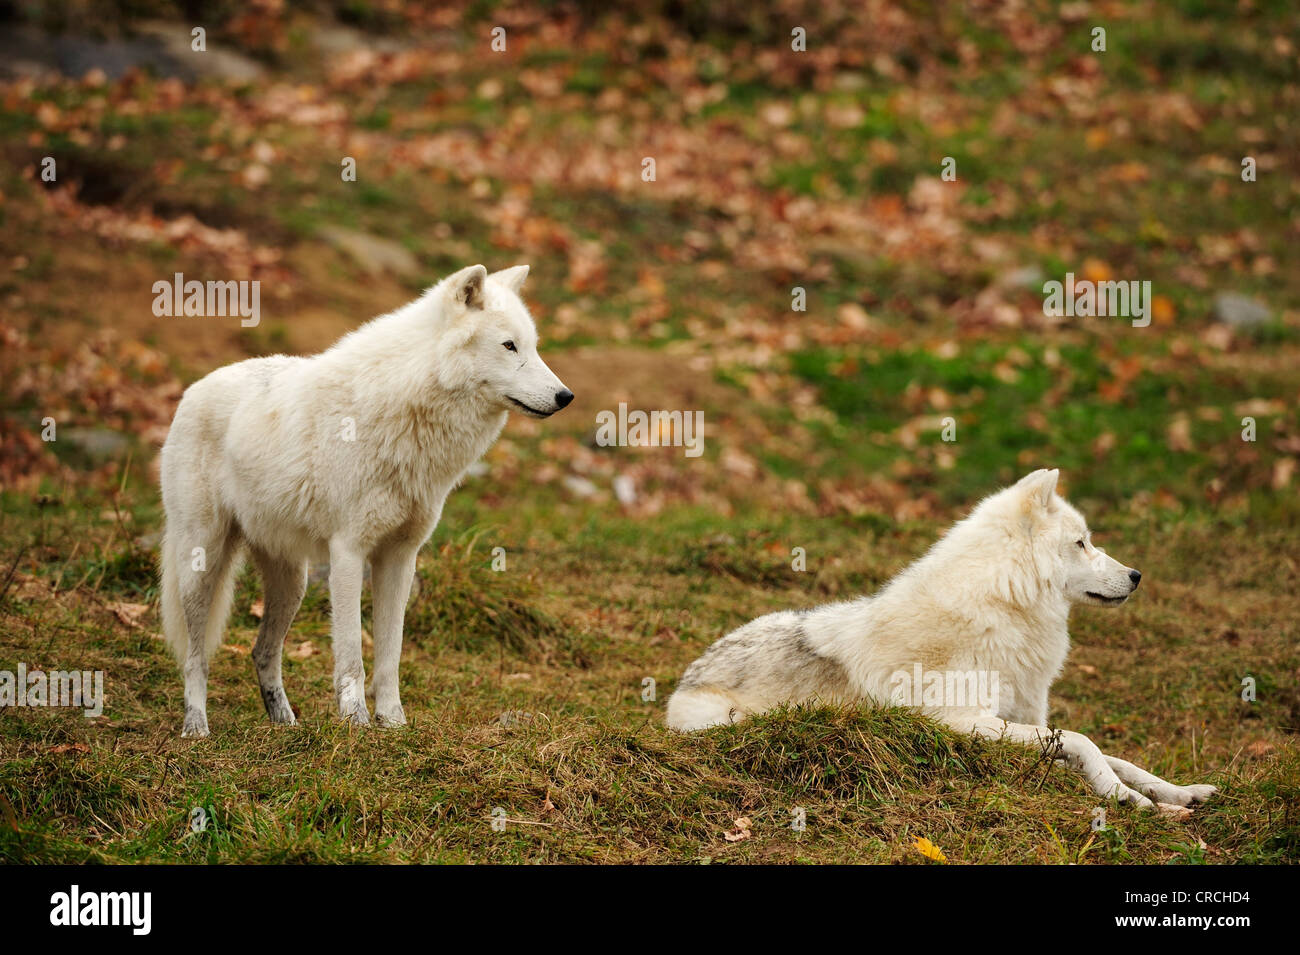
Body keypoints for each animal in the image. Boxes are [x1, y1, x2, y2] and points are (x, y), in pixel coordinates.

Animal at [159, 264, 572, 737]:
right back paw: (196, 726)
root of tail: (191, 391)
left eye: (534, 346)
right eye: (509, 345)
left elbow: (390, 656)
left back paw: (286, 724)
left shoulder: (400, 557)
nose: (565, 396)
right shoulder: (348, 551)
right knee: (195, 658)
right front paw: (355, 722)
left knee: (262, 652)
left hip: (293, 582)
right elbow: (352, 655)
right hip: (202, 564)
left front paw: (393, 723)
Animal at [666, 470, 1217, 810]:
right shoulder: (962, 722)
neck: (1000, 608)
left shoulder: (1029, 718)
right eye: (1081, 543)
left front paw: (1177, 793)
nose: (1137, 576)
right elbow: (1088, 742)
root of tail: (688, 672)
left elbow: (1118, 755)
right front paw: (1126, 798)